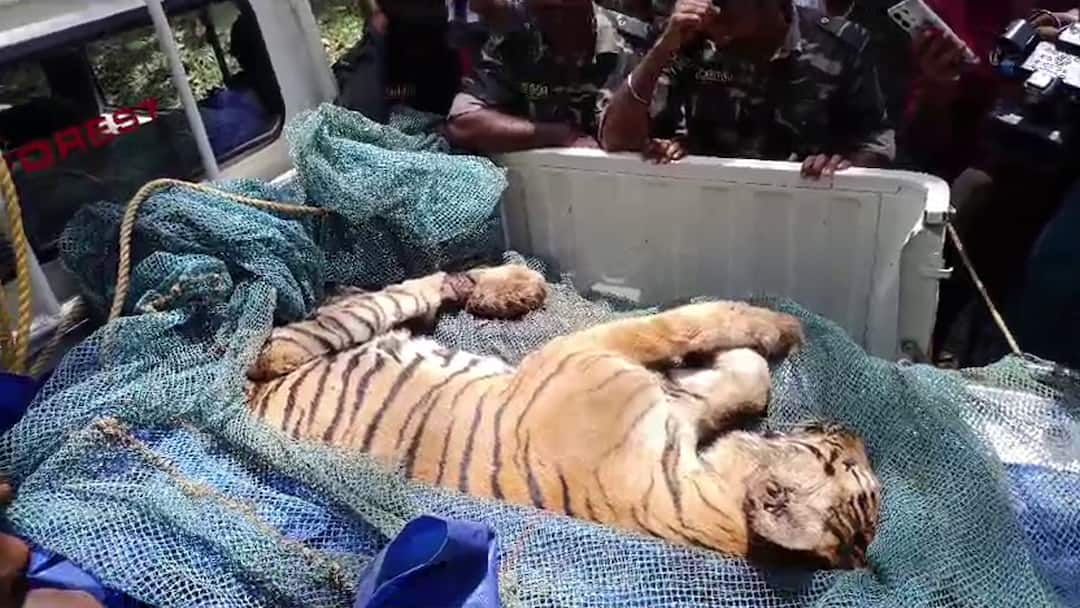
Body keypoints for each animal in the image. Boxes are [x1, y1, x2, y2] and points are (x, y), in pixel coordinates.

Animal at [244, 263, 882, 570]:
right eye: (842, 462)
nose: (849, 430)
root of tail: (246, 392)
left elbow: (738, 378)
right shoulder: (594, 349)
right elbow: (691, 330)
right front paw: (778, 329)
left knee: (423, 290)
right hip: (323, 339)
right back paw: (515, 286)